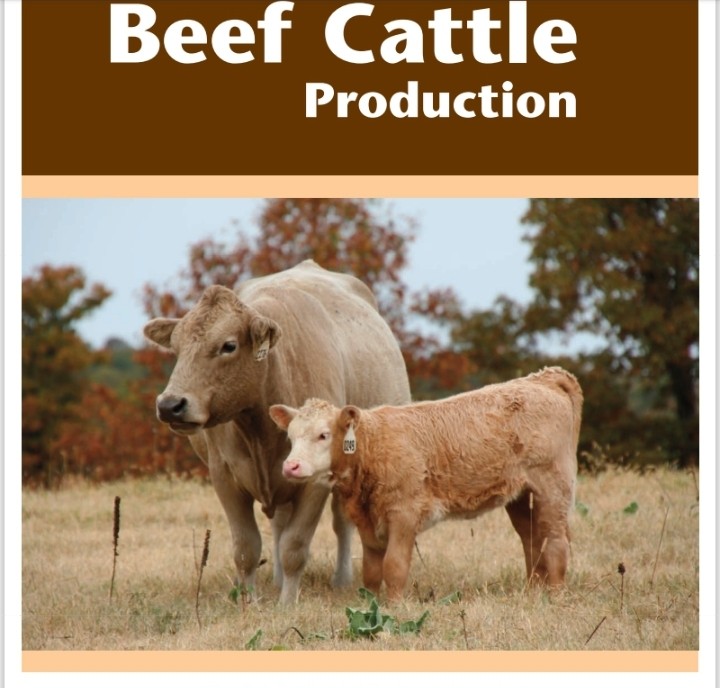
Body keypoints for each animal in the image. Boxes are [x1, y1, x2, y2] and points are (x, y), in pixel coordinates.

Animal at [143, 260, 411, 604]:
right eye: (176, 348)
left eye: (228, 346)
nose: (170, 404)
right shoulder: (224, 475)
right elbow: (246, 547)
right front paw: (248, 601)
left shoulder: (317, 482)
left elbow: (295, 546)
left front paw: (286, 604)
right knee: (280, 522)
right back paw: (278, 579)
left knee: (341, 524)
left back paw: (340, 579)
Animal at [269, 367, 583, 600]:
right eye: (291, 436)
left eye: (323, 435)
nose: (290, 466)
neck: (373, 447)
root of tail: (541, 378)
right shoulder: (366, 520)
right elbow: (371, 570)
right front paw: (370, 603)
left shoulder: (404, 514)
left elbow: (394, 565)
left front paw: (394, 605)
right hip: (518, 495)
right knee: (531, 538)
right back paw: (533, 591)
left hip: (553, 487)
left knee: (555, 540)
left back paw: (555, 595)